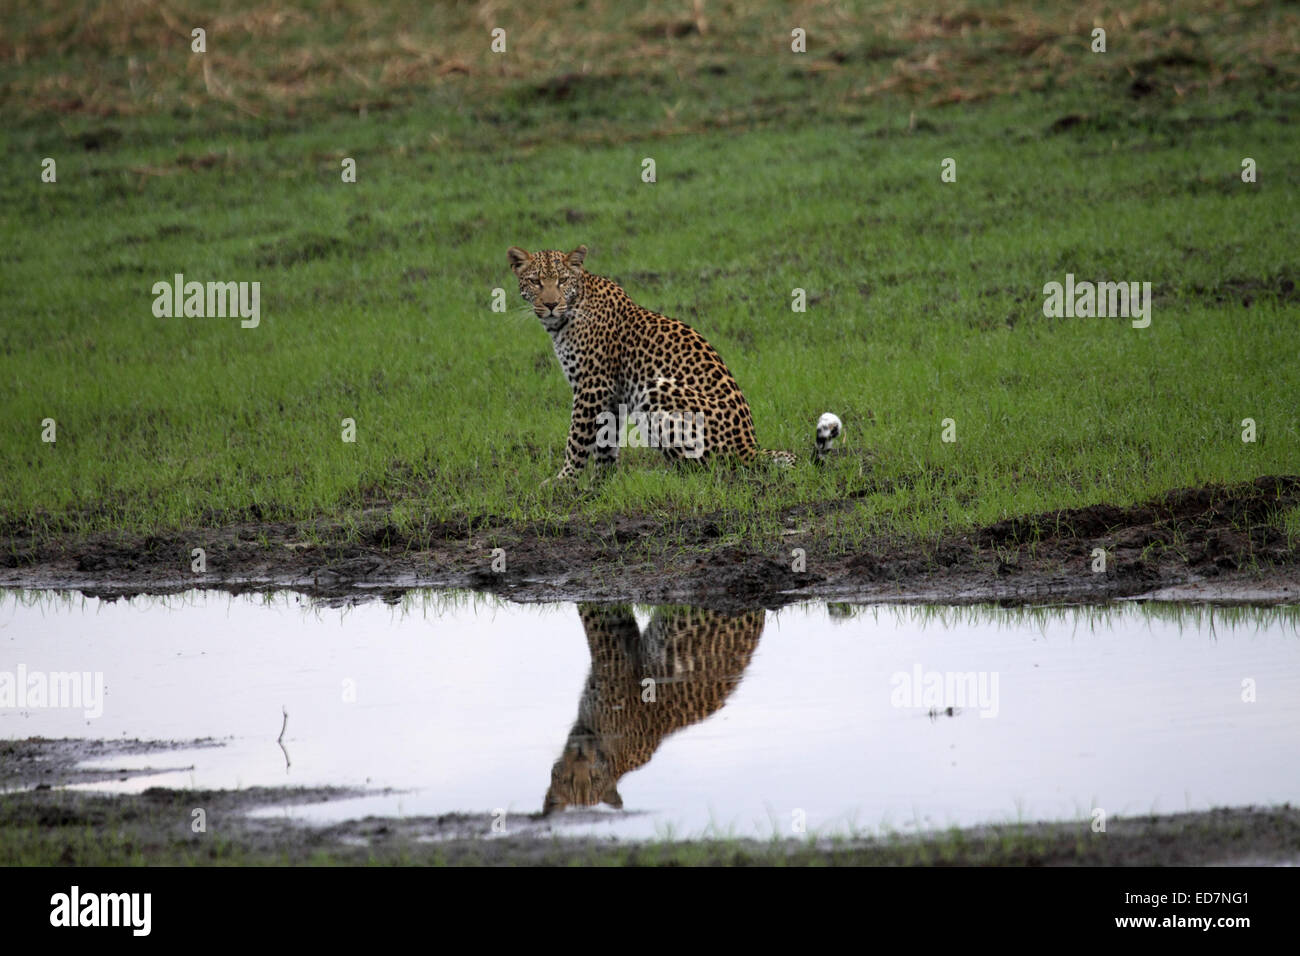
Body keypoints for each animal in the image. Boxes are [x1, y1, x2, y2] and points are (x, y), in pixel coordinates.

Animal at [508, 245, 842, 481]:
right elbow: (605, 442)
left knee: (711, 469)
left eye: (562, 280)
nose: (550, 304)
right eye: (535, 282)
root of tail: (751, 446)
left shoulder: (592, 387)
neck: (566, 316)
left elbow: (576, 440)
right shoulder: (610, 394)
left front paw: (563, 482)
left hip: (656, 390)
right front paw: (600, 484)